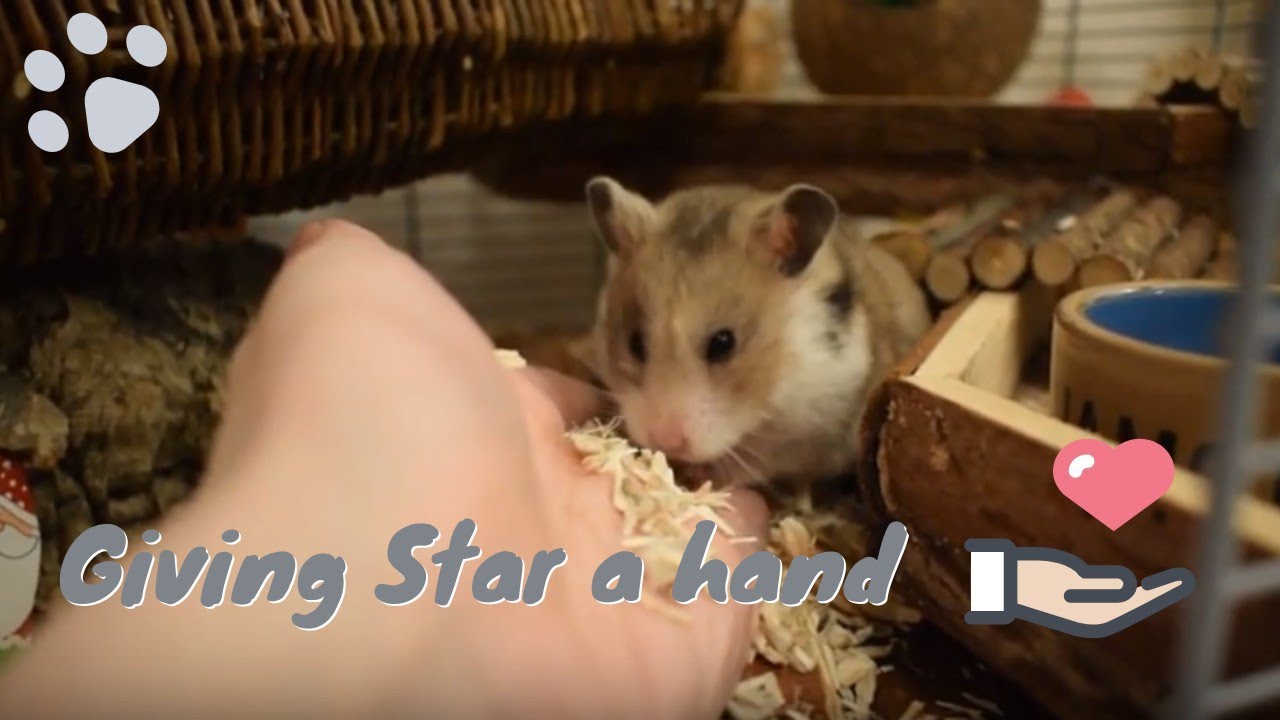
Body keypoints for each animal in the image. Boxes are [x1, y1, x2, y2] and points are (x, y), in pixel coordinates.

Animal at [582, 177, 931, 491]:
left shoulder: (811, 432)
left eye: (724, 343)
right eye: (635, 343)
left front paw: (699, 474)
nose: (665, 442)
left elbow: (756, 463)